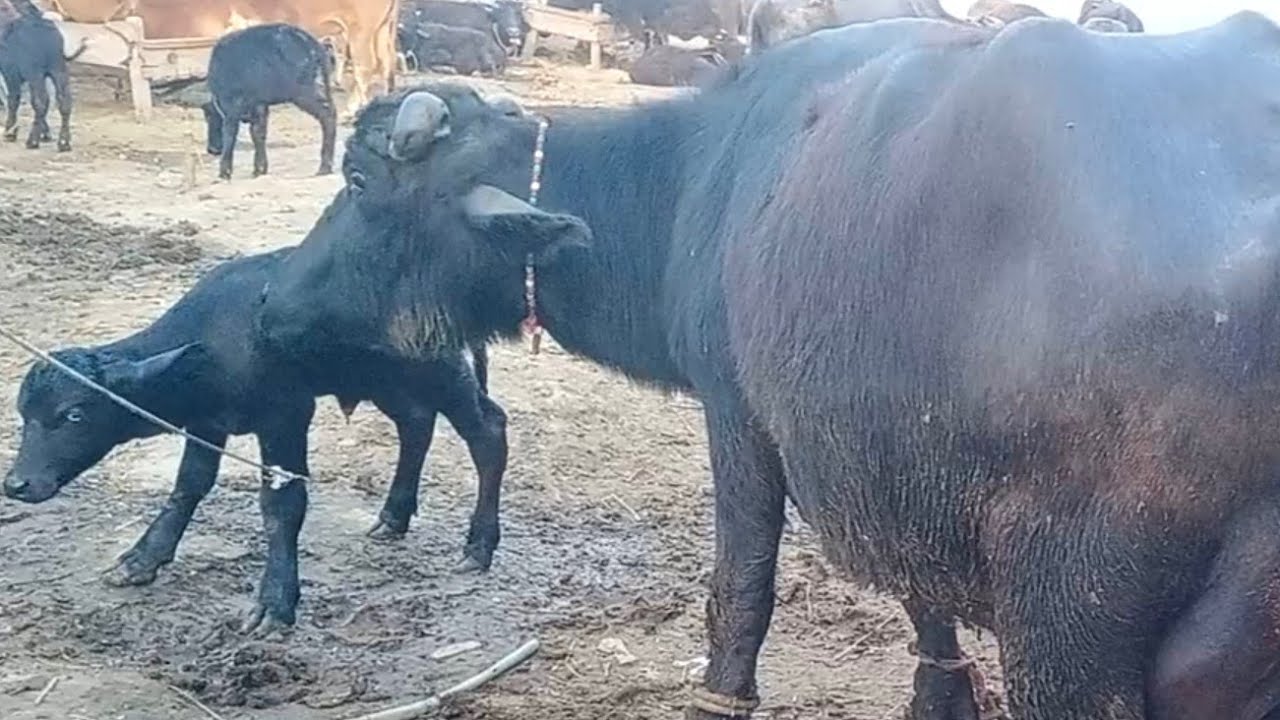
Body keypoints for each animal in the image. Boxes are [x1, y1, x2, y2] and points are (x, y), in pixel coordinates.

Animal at [4, 247, 508, 634]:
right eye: (23, 413)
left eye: (73, 414)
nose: (16, 484)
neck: (217, 342)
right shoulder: (205, 424)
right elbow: (189, 485)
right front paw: (142, 559)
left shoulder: (285, 415)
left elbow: (281, 507)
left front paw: (275, 603)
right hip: (386, 378)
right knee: (416, 424)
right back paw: (393, 517)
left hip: (442, 372)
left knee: (488, 433)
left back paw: (478, 547)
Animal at [261, 13, 1280, 720]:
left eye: (360, 183)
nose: (275, 304)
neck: (695, 179)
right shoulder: (894, 462)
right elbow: (925, 599)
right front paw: (938, 699)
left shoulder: (740, 411)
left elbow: (742, 581)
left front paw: (723, 688)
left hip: (1069, 614)